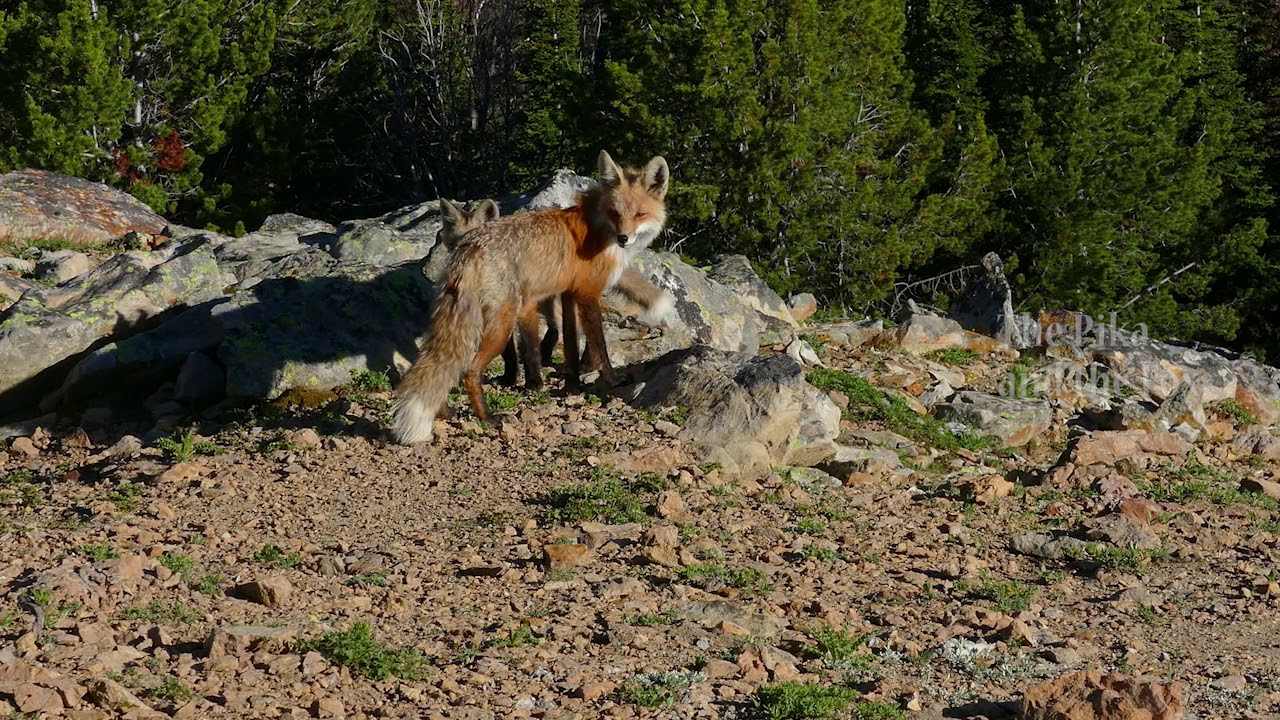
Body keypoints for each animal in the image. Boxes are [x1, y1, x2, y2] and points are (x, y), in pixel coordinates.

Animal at [392, 150, 671, 444]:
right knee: (469, 370)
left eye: (639, 214)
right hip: (501, 324)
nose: (623, 238)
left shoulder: (568, 294)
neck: (596, 228)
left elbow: (570, 346)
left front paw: (572, 386)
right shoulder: (587, 293)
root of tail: (470, 243)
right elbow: (599, 346)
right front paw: (613, 380)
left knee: (432, 366)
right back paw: (487, 417)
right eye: (614, 213)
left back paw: (445, 412)